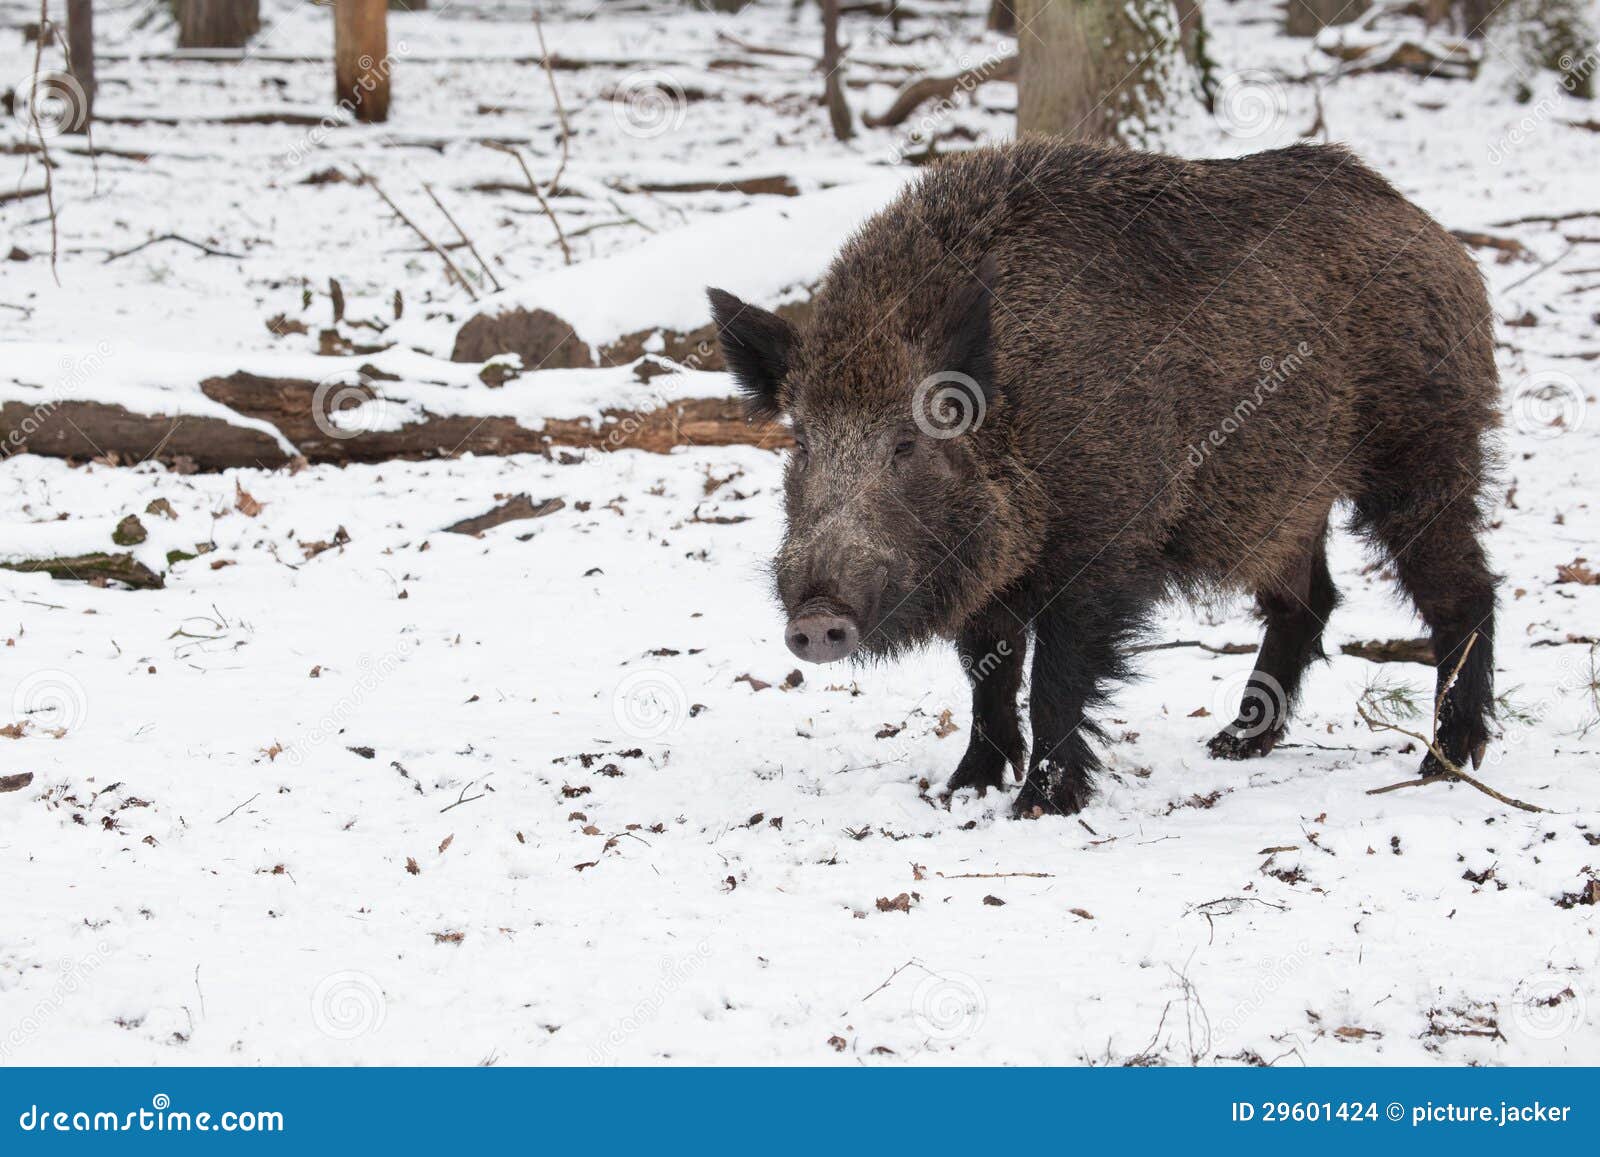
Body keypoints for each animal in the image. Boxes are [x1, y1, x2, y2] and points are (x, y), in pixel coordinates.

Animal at [707, 139, 1499, 817]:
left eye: (908, 441)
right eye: (801, 439)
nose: (816, 616)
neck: (1018, 415)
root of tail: (1435, 234)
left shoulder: (1102, 544)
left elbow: (1055, 681)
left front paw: (1040, 806)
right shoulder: (991, 576)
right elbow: (987, 676)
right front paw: (962, 790)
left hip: (1426, 447)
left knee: (1464, 590)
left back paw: (1446, 760)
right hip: (1282, 500)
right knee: (1309, 602)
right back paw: (1232, 745)